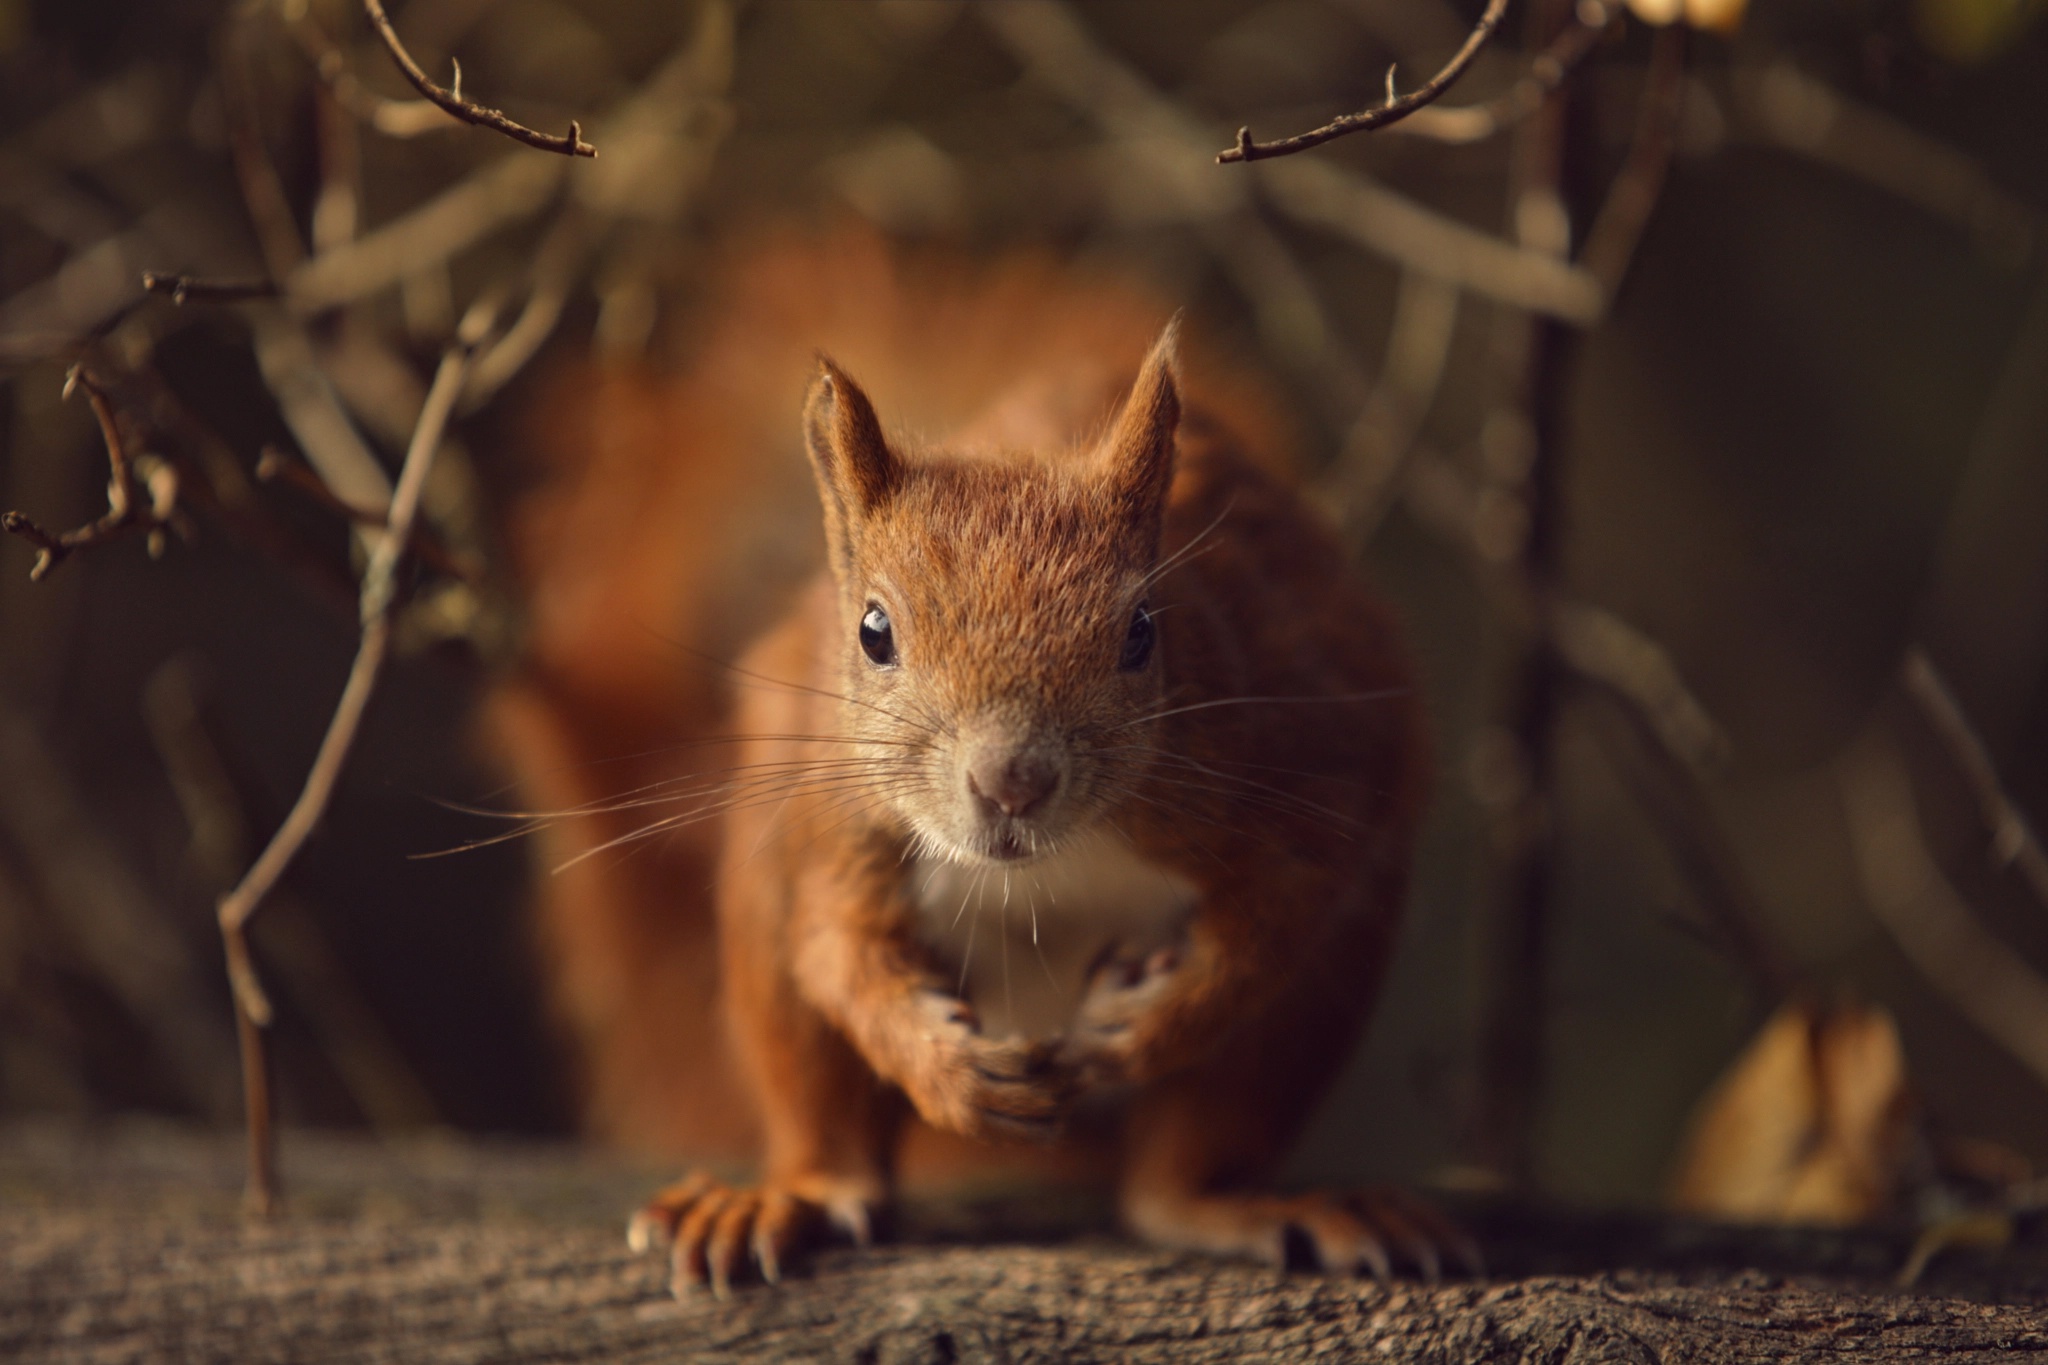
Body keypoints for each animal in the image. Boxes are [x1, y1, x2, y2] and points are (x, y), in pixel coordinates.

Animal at [486, 229, 1462, 1293]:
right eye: (872, 631)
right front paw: (938, 1064)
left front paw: (1153, 1021)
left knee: (1188, 1162)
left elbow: (1284, 917)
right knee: (824, 1107)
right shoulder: (837, 824)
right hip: (761, 918)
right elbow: (838, 946)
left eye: (1143, 630)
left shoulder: (1311, 757)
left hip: (1311, 1010)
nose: (1011, 781)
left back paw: (1241, 1200)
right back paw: (787, 1193)